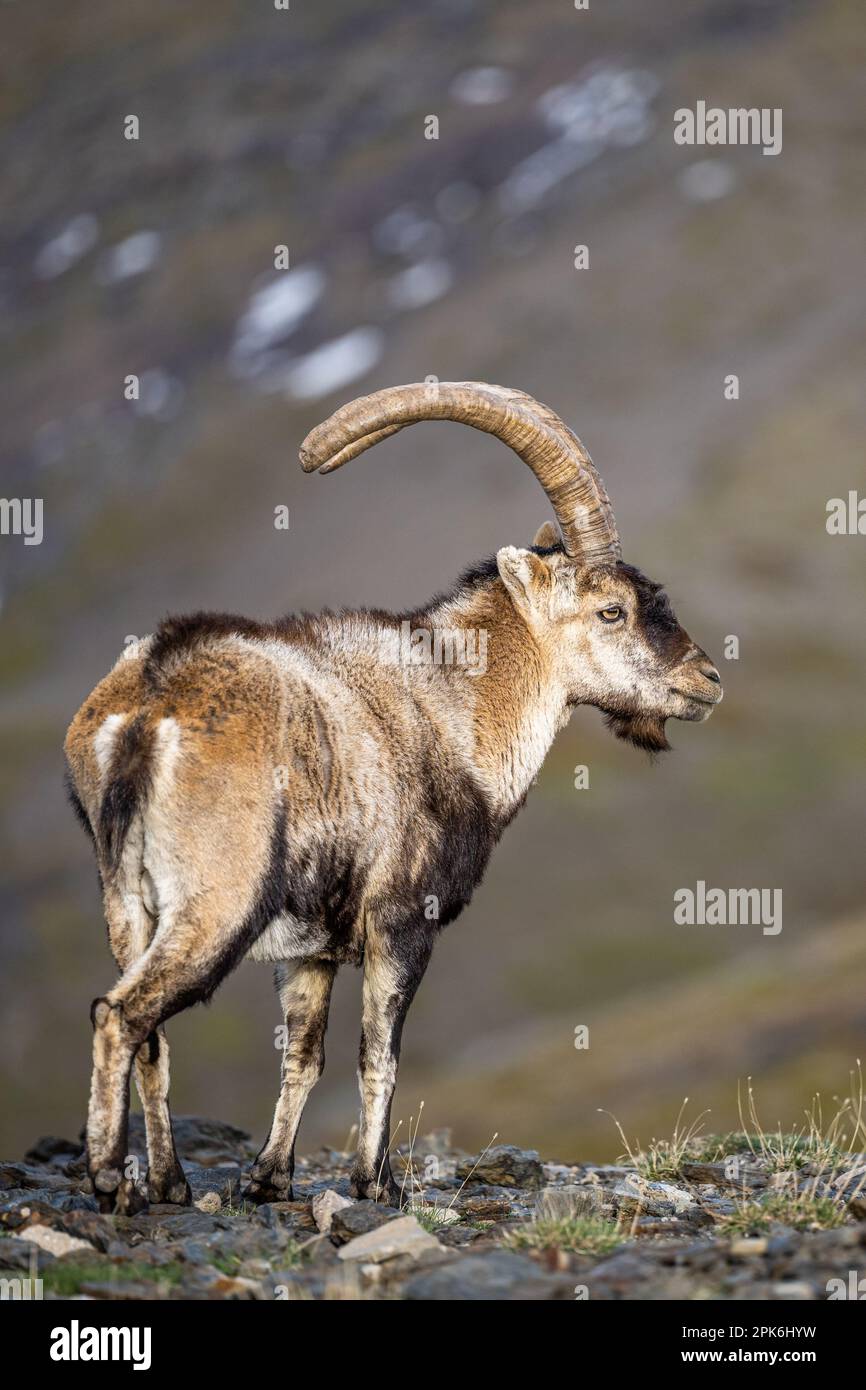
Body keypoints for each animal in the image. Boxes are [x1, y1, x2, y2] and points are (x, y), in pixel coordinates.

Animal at [65, 382, 722, 1213]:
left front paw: (270, 1176)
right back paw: (110, 1179)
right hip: (218, 898)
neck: (454, 707)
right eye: (612, 610)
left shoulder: (308, 949)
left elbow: (304, 1053)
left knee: (149, 1030)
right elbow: (379, 1053)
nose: (707, 680)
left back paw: (172, 1183)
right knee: (121, 1012)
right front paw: (375, 1183)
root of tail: (151, 705)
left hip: (123, 898)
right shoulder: (403, 919)